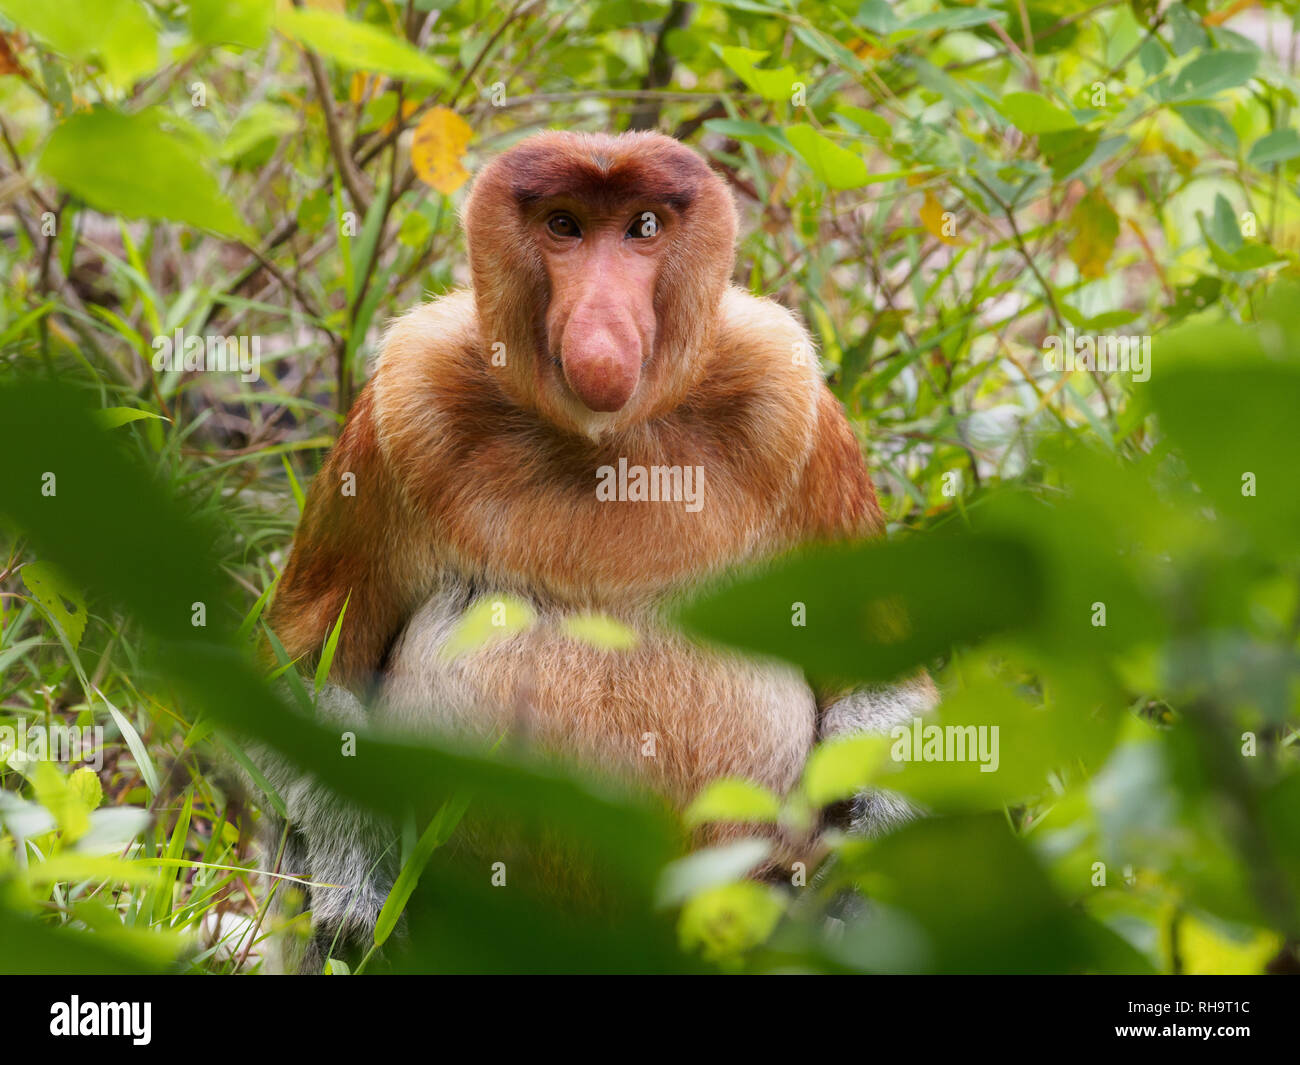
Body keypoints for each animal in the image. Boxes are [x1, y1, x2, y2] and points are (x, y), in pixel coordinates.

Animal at [260, 130, 937, 972]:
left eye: (642, 228)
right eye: (565, 226)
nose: (601, 325)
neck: (603, 445)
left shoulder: (796, 407)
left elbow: (871, 687)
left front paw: (865, 893)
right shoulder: (400, 403)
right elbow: (311, 664)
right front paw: (357, 883)